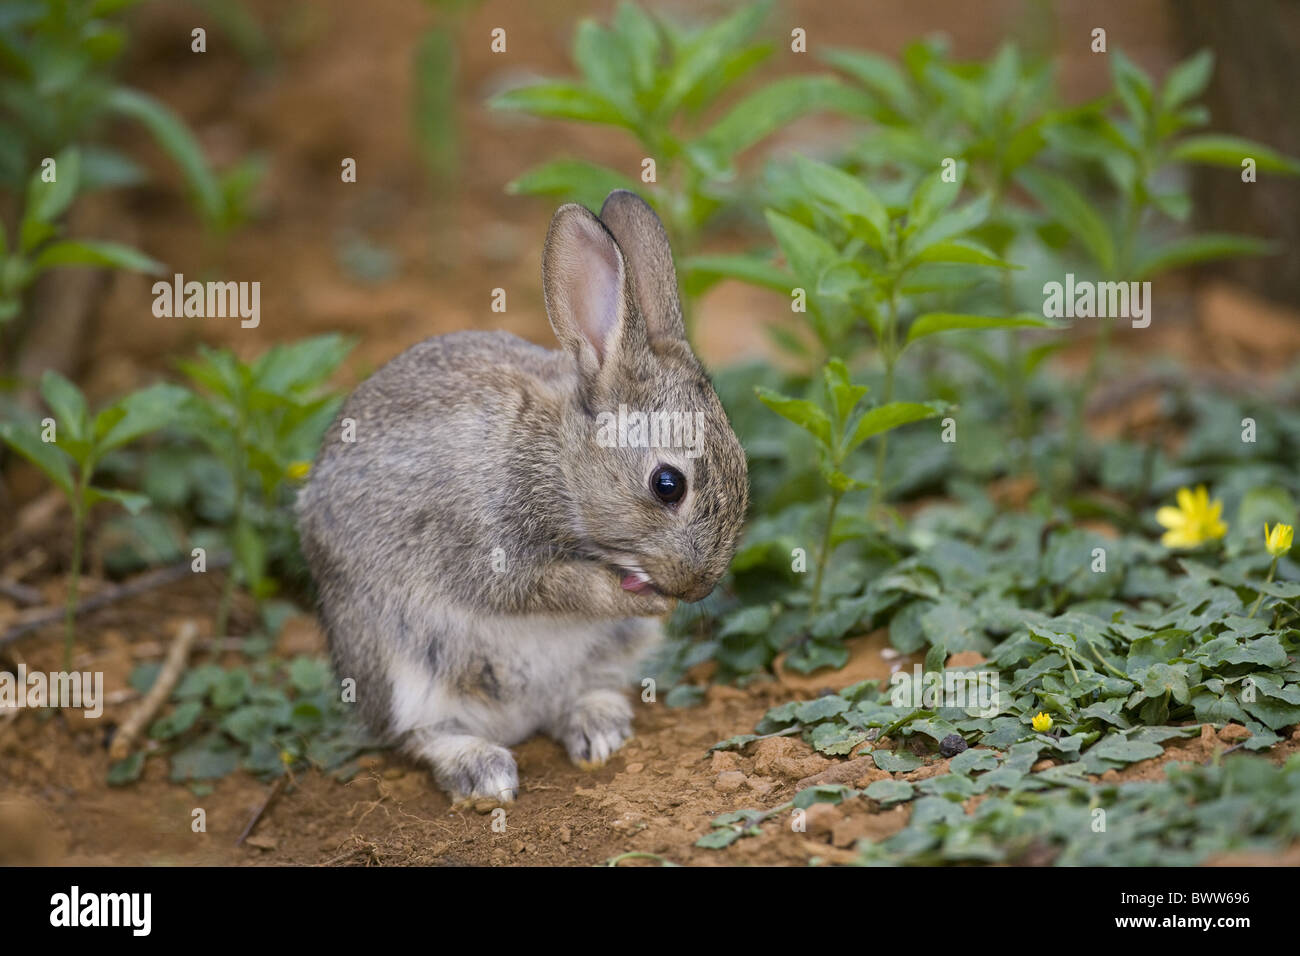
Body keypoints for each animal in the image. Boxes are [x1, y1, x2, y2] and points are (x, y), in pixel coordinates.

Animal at [296, 190, 749, 804]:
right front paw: (644, 599)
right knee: (423, 730)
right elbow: (546, 588)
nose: (699, 587)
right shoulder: (490, 549)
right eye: (667, 484)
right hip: (394, 662)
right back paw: (482, 770)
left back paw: (597, 729)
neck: (561, 462)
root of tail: (519, 719)